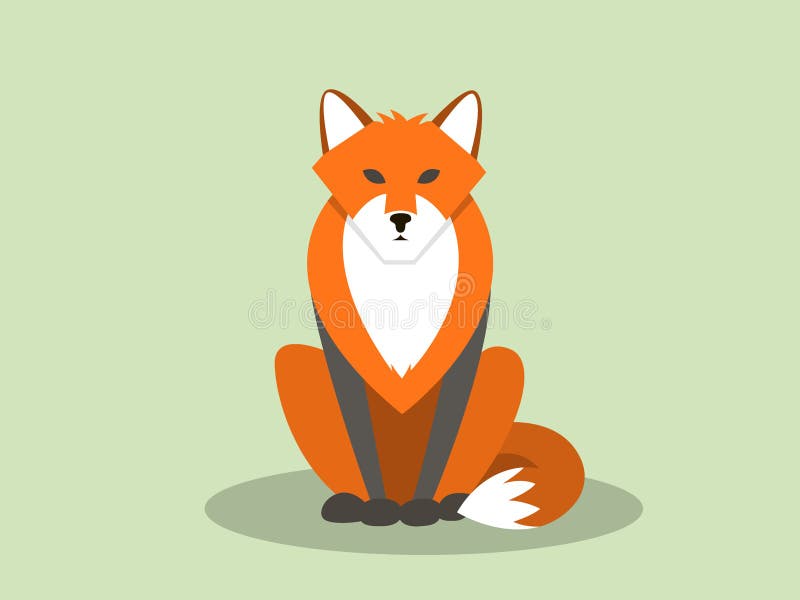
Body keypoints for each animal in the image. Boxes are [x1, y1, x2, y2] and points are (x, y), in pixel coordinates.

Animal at [274, 90, 584, 528]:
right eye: (372, 176)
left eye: (430, 176)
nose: (400, 218)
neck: (401, 283)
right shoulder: (346, 367)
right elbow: (366, 452)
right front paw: (379, 509)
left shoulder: (460, 362)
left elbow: (439, 451)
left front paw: (424, 509)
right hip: (291, 363)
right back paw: (351, 502)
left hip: (505, 365)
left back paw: (450, 504)